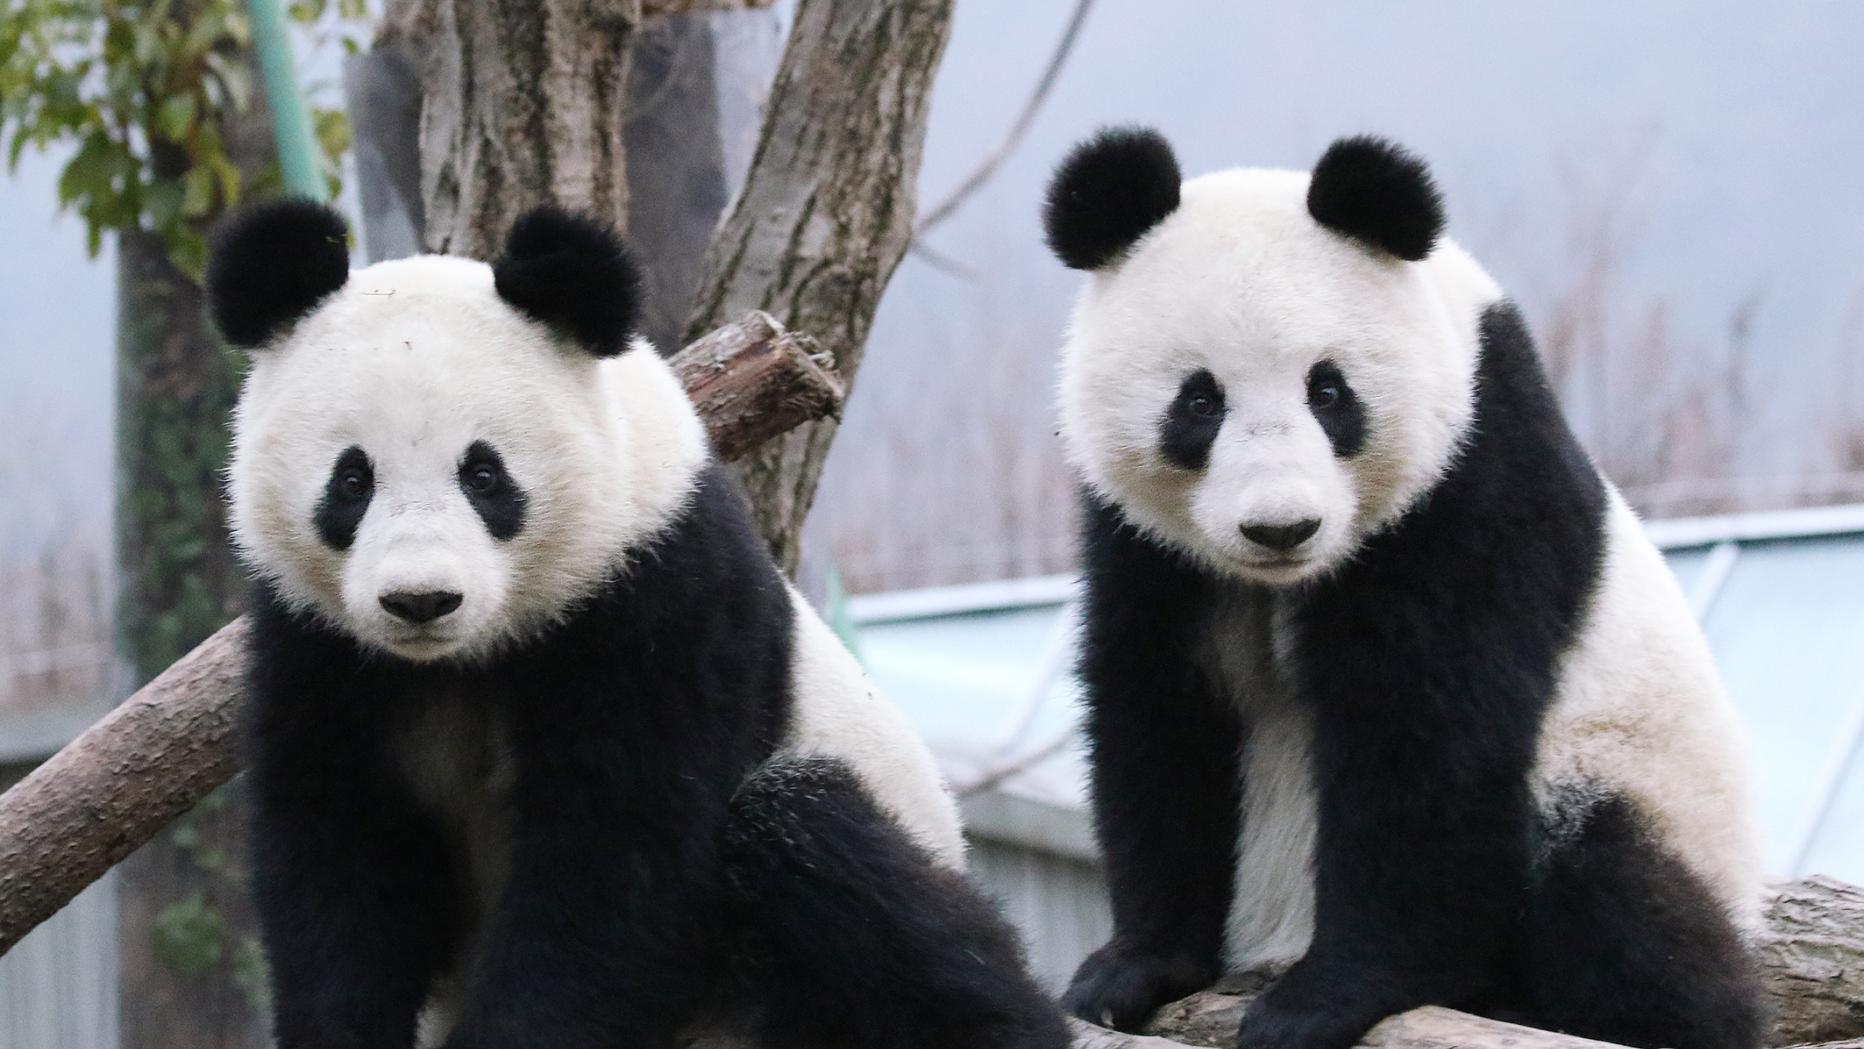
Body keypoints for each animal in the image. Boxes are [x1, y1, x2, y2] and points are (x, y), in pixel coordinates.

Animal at [207, 200, 1069, 1049]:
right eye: (352, 480)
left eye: (484, 474)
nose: (421, 599)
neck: (465, 655)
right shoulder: (317, 642)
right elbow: (340, 852)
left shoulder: (659, 596)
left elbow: (621, 857)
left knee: (828, 847)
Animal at [1042, 129, 1765, 1049]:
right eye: (1198, 400)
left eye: (1328, 390)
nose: (1281, 527)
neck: (1288, 579)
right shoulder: (1148, 552)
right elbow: (1159, 719)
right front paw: (1129, 968)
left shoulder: (1471, 491)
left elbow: (1424, 734)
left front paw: (1320, 1001)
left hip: (1638, 775)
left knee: (1624, 899)